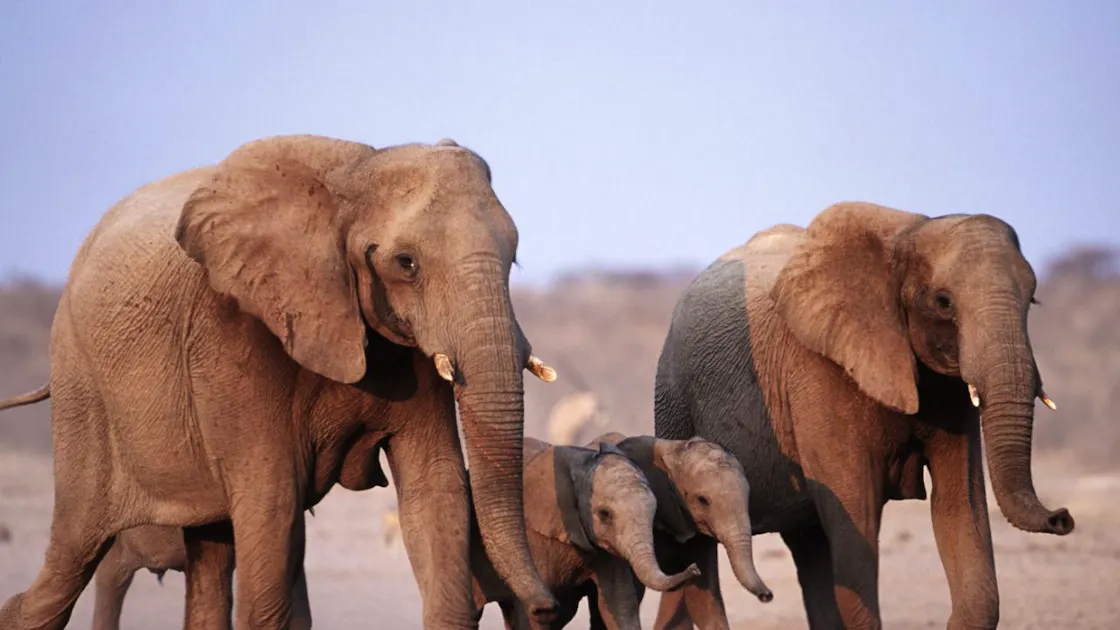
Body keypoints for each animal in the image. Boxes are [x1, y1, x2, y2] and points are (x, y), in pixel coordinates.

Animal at [0, 135, 562, 630]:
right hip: (82, 390)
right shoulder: (232, 334)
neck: (356, 173)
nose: (544, 610)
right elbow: (273, 499)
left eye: (513, 257)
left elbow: (435, 488)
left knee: (210, 558)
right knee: (69, 559)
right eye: (407, 264)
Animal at [470, 438, 701, 630]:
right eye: (605, 514)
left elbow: (620, 602)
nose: (694, 568)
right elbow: (534, 617)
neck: (582, 460)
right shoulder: (532, 539)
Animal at [652, 202, 1073, 629]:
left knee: (810, 545)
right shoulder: (817, 371)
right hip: (674, 403)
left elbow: (959, 505)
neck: (907, 235)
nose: (1062, 518)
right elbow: (857, 522)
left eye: (1033, 301)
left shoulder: (949, 391)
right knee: (694, 555)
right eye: (943, 302)